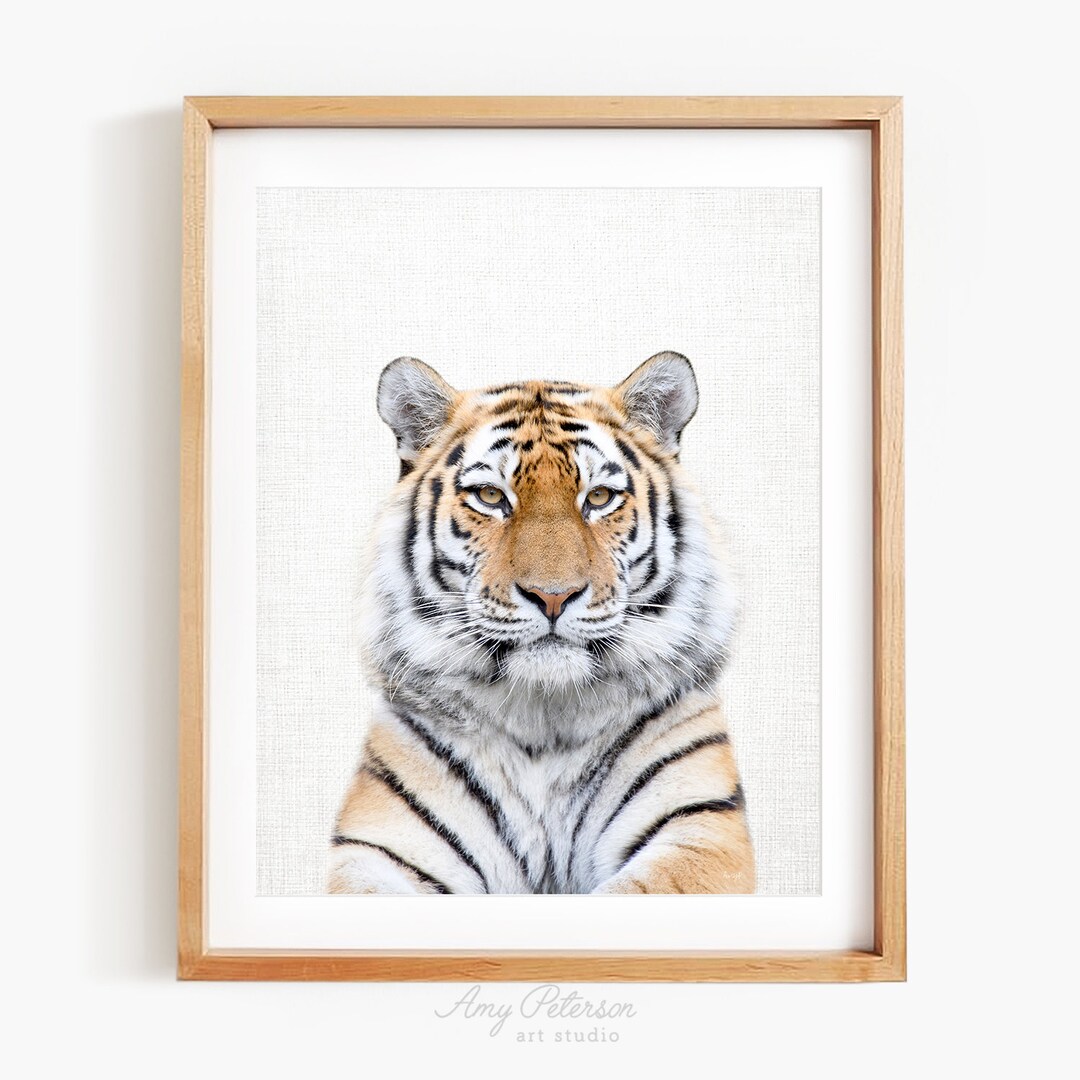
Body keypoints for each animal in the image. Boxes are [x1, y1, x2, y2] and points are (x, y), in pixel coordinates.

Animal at [329, 351, 755, 895]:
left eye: (599, 498)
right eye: (491, 497)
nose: (553, 596)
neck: (544, 722)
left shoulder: (700, 829)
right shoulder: (379, 850)